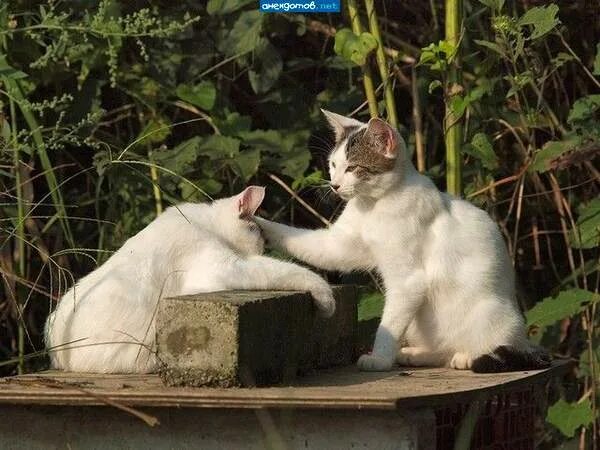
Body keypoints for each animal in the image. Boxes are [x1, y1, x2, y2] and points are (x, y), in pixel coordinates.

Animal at [45, 186, 338, 372]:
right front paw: (326, 298)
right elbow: (285, 270)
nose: (263, 247)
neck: (205, 222)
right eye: (260, 238)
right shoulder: (222, 269)